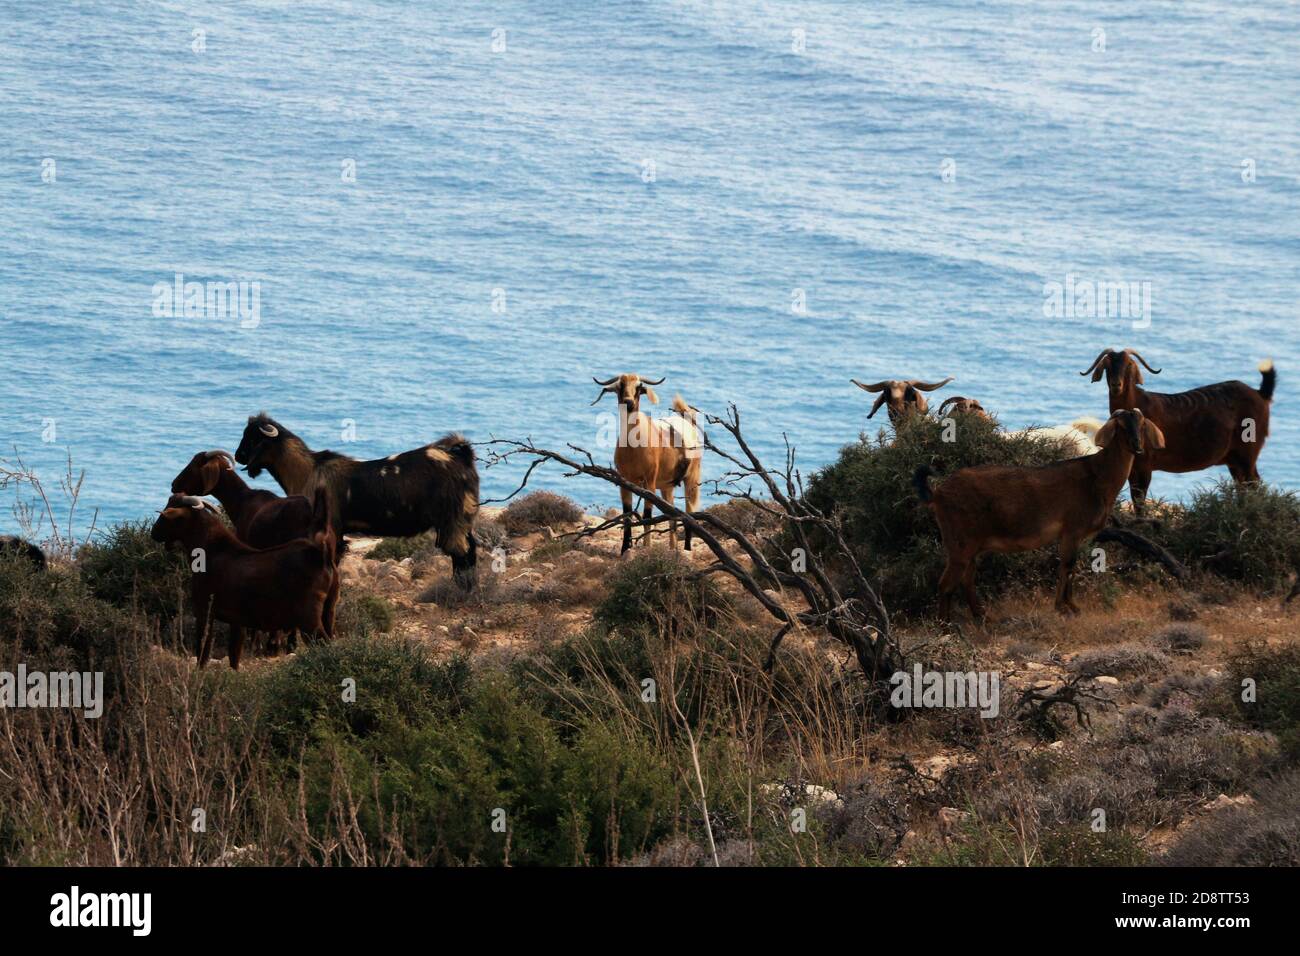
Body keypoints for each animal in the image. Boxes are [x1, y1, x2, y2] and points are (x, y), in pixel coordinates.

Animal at [150, 491, 337, 669]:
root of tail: (321, 554)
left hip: (308, 617)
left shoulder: (204, 610)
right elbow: (234, 655)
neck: (212, 551)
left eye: (167, 514)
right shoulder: (237, 620)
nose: (154, 532)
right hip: (329, 608)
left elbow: (203, 649)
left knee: (323, 642)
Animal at [234, 415, 480, 589]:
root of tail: (461, 456)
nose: (238, 456)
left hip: (453, 518)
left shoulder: (329, 529)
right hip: (461, 518)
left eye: (254, 438)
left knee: (462, 553)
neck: (308, 471)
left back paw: (462, 589)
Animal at [591, 374, 703, 553]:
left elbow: (647, 515)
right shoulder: (624, 482)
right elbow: (627, 515)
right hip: (667, 486)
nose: (628, 402)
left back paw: (686, 549)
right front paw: (625, 548)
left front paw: (646, 548)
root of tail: (689, 423)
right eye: (620, 385)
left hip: (692, 478)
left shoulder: (649, 482)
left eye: (638, 387)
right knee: (672, 514)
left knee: (690, 512)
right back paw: (672, 549)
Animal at [915, 408, 1165, 620]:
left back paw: (981, 617)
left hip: (971, 546)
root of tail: (938, 494)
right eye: (1121, 425)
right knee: (946, 584)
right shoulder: (1072, 530)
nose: (1137, 446)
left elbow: (1068, 567)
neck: (1097, 476)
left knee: (967, 579)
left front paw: (1068, 606)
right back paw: (947, 626)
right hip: (959, 542)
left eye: (1142, 424)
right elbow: (1067, 566)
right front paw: (1066, 607)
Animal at [1082, 349, 1275, 511]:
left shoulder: (1146, 464)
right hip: (1234, 459)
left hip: (1248, 451)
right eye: (1107, 365)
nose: (1117, 385)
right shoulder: (1133, 466)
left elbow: (1140, 499)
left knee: (1254, 483)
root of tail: (1260, 393)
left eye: (1129, 364)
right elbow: (1136, 498)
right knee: (1242, 485)